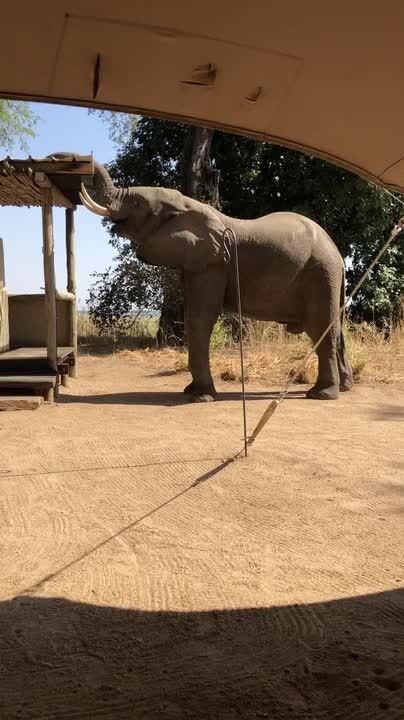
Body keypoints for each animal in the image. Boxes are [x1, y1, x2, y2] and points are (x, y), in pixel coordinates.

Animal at [73, 154, 353, 402]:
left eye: (137, 204)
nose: (83, 163)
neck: (190, 206)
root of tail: (338, 256)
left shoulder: (214, 264)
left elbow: (200, 317)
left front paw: (199, 397)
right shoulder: (196, 261)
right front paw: (190, 391)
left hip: (319, 273)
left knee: (321, 328)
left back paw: (321, 394)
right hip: (327, 277)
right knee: (335, 329)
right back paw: (345, 387)